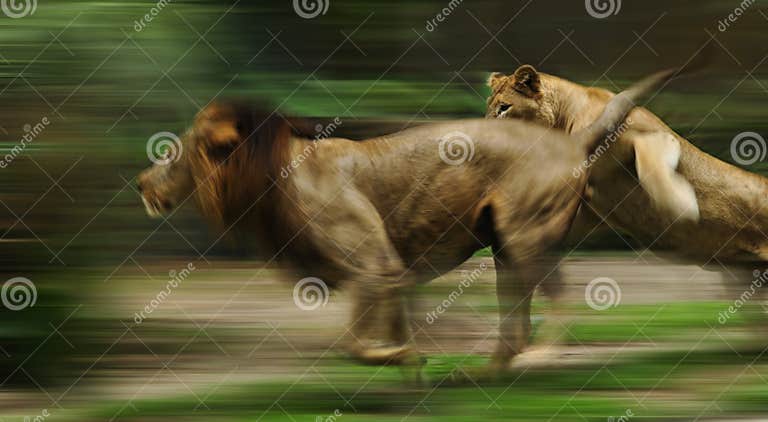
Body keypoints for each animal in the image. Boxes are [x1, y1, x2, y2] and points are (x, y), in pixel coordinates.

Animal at [137, 67, 681, 374]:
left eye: (174, 153)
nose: (141, 183)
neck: (270, 176)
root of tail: (568, 140)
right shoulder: (388, 271)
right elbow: (386, 326)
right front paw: (412, 363)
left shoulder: (374, 263)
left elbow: (355, 345)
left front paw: (400, 358)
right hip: (504, 248)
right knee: (516, 318)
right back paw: (488, 372)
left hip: (528, 236)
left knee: (558, 299)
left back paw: (538, 359)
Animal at [487, 64, 768, 356]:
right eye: (490, 106)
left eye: (505, 107)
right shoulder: (585, 207)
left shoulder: (647, 134)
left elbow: (653, 153)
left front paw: (680, 201)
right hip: (737, 277)